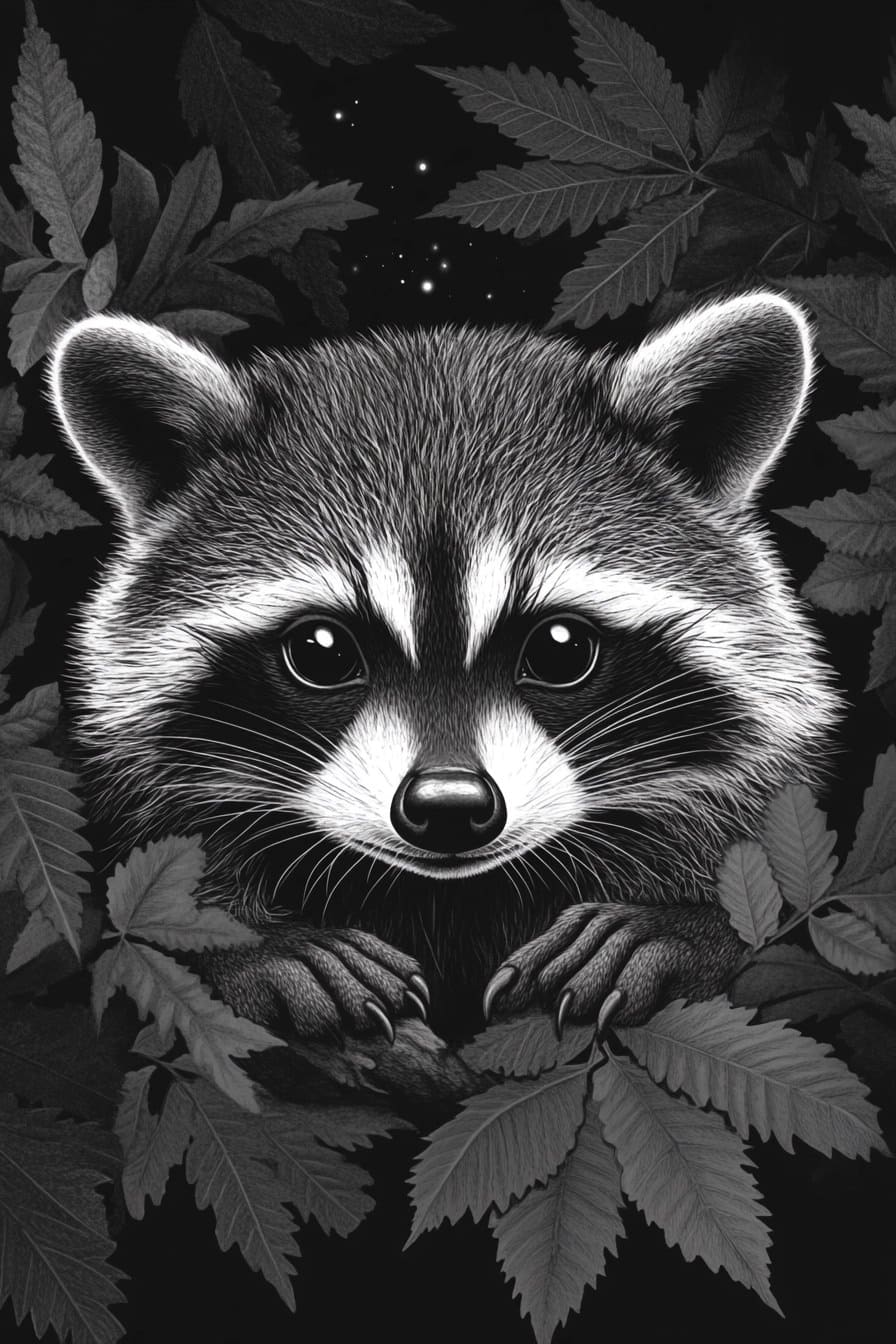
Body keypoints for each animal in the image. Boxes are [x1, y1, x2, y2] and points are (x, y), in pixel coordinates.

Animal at [48, 292, 839, 1042]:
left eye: (560, 648)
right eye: (321, 651)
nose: (450, 807)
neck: (449, 896)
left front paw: (679, 921)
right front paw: (247, 937)